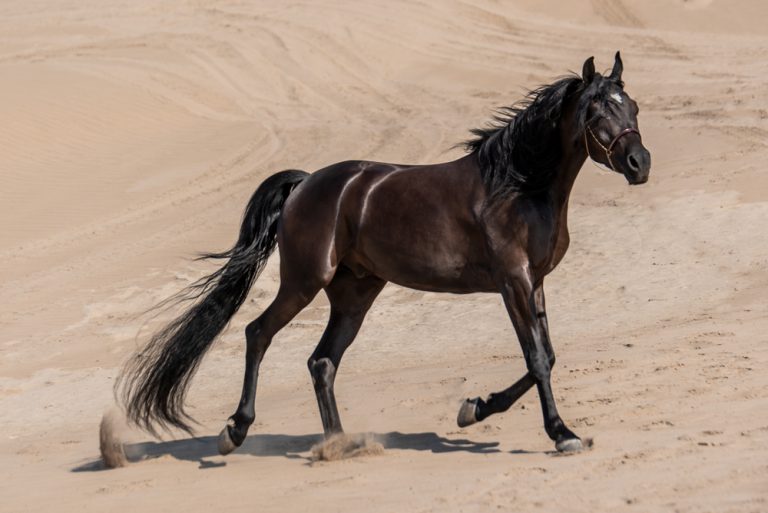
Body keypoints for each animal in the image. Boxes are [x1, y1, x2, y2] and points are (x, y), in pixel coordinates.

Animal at [118, 52, 651, 455]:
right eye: (596, 111)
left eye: (633, 107)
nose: (639, 163)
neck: (519, 187)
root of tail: (305, 184)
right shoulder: (513, 281)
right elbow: (538, 358)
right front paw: (561, 434)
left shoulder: (534, 281)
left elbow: (548, 355)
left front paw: (474, 410)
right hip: (304, 282)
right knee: (258, 334)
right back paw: (235, 430)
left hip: (355, 294)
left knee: (321, 361)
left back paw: (339, 442)